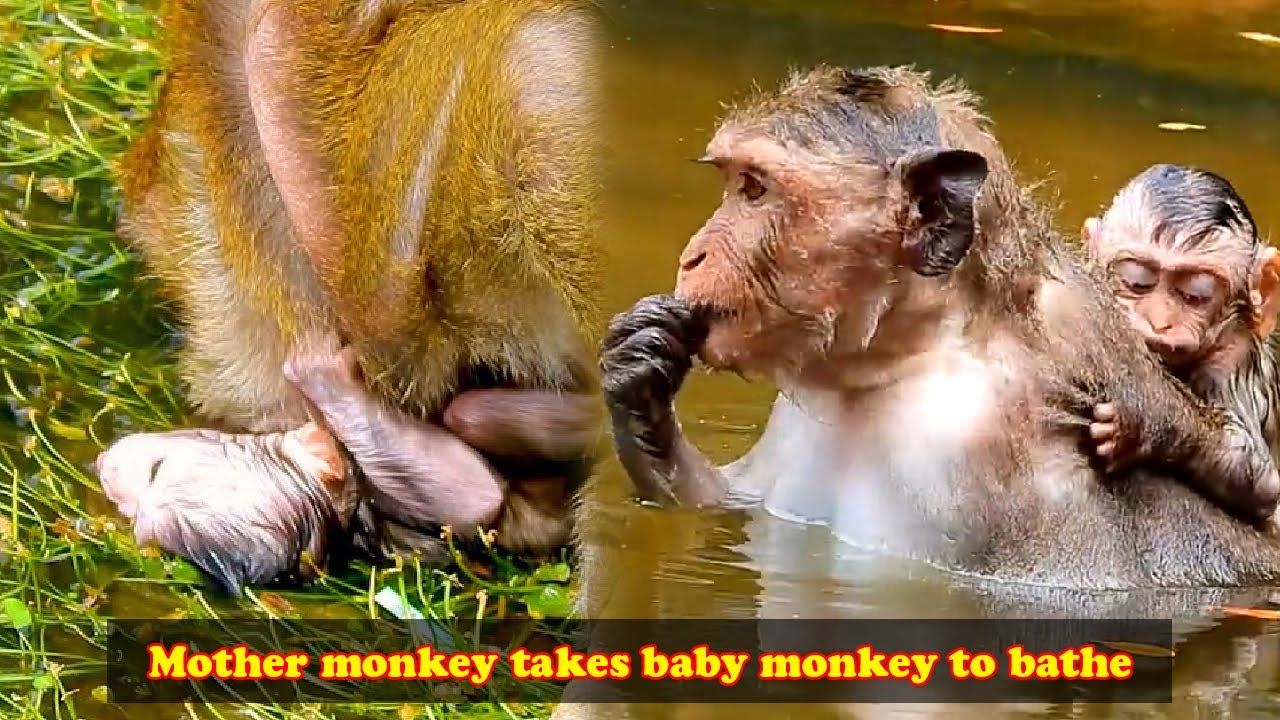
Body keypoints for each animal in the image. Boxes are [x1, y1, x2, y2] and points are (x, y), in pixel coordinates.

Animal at [1080, 164, 1280, 526]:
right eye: (1136, 282)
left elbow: (1260, 479)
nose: (1159, 320)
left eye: (1195, 295)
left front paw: (1149, 415)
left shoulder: (1232, 358)